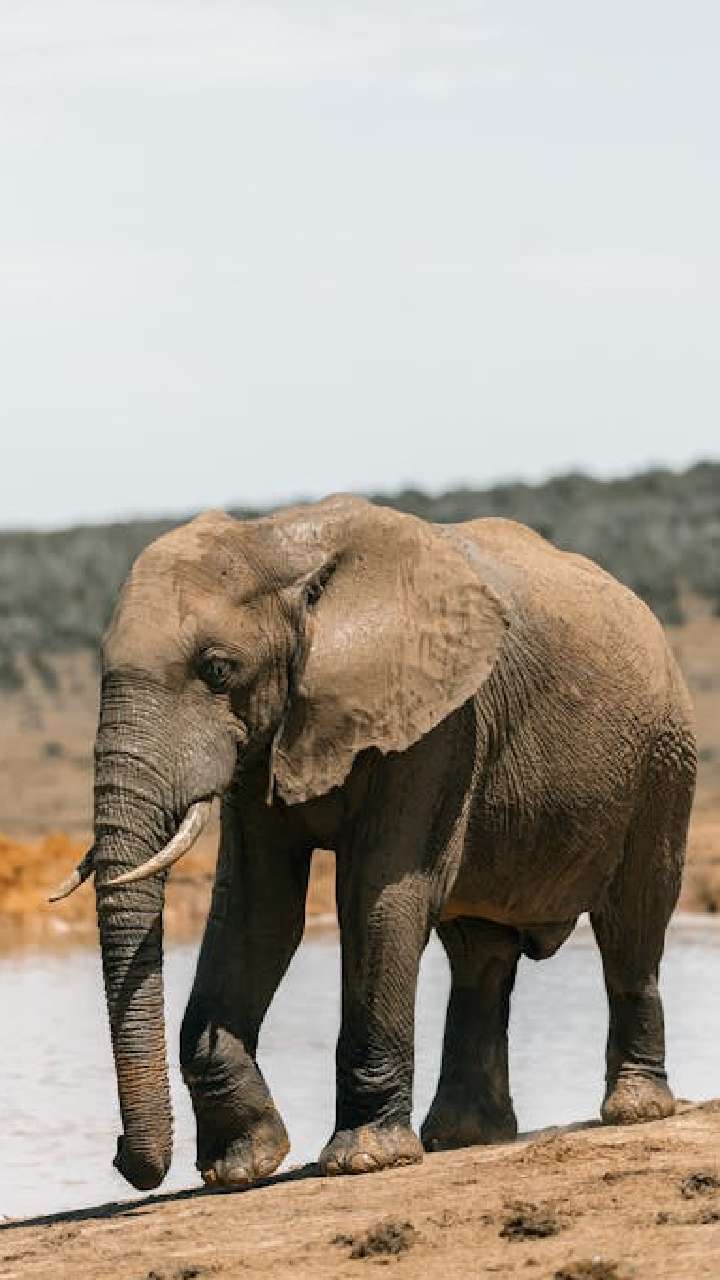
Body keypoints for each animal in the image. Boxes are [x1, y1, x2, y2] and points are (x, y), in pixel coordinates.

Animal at [51, 494, 696, 1192]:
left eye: (217, 669)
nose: (120, 1156)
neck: (276, 543)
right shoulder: (269, 741)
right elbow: (257, 911)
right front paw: (241, 1167)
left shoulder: (438, 724)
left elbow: (377, 897)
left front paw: (362, 1160)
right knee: (480, 956)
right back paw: (462, 1136)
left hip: (664, 760)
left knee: (631, 927)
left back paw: (633, 1109)